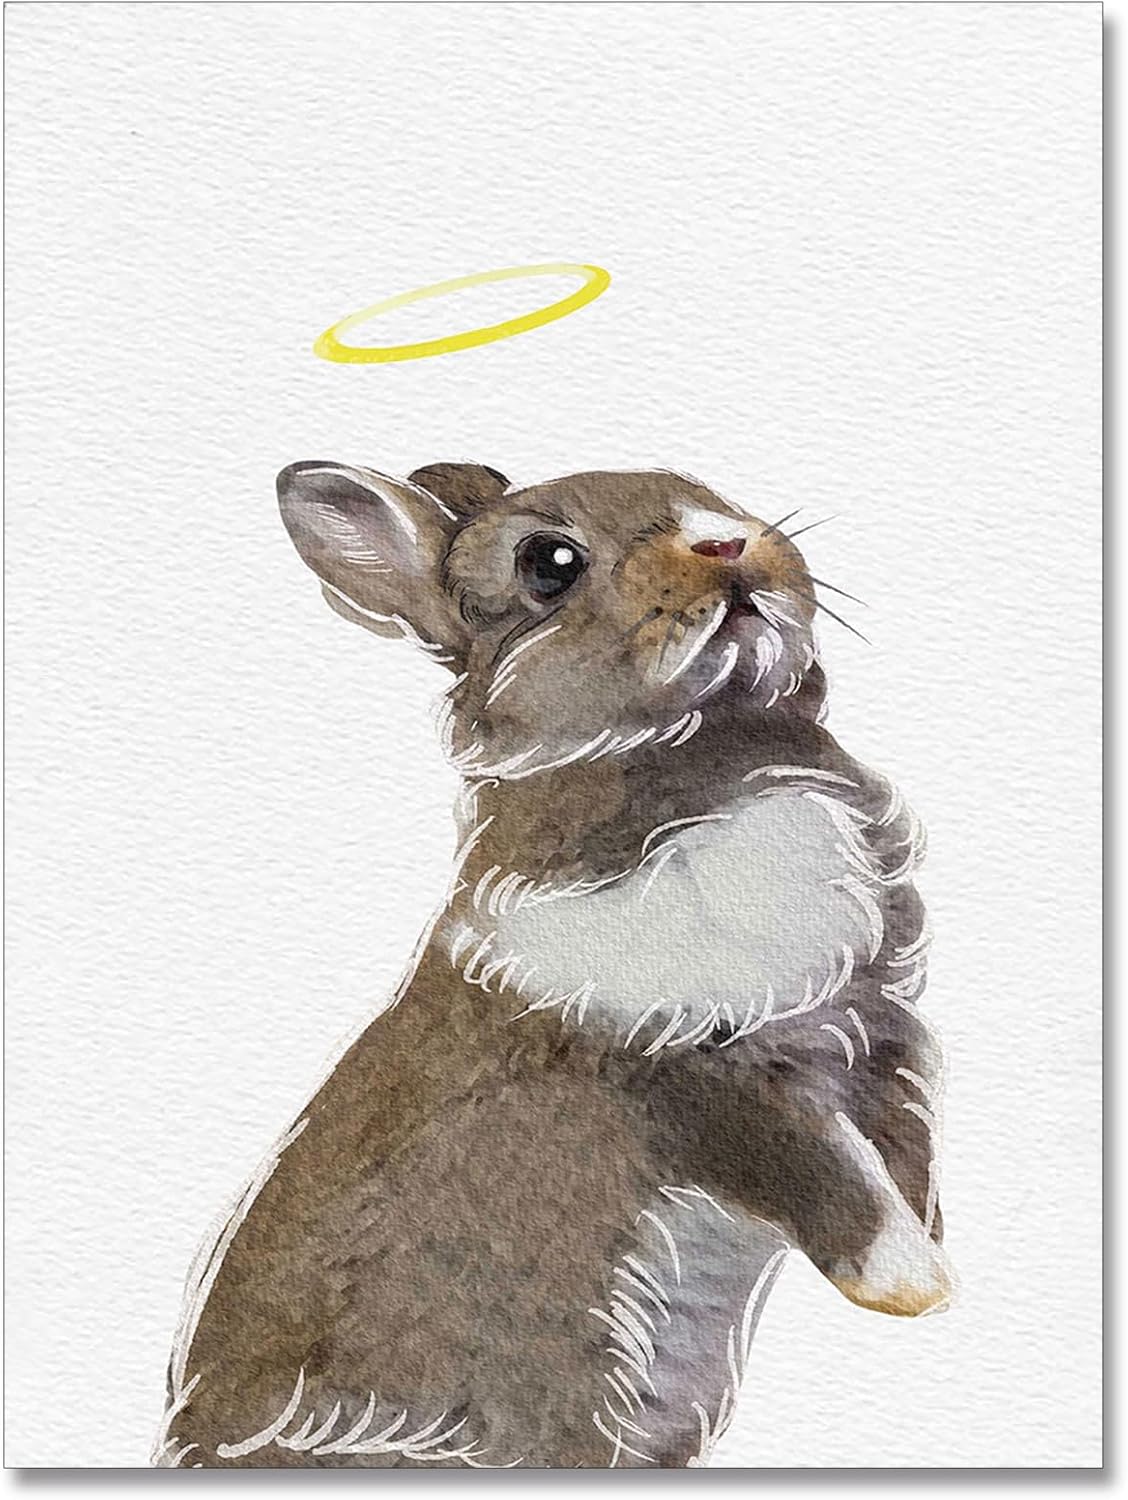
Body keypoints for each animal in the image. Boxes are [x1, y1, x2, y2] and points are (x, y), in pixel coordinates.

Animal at [154, 460, 950, 1469]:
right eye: (549, 564)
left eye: (697, 482)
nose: (726, 542)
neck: (707, 750)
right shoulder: (695, 1069)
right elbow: (835, 1179)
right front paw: (917, 1287)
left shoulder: (879, 1033)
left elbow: (904, 1155)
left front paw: (937, 1255)